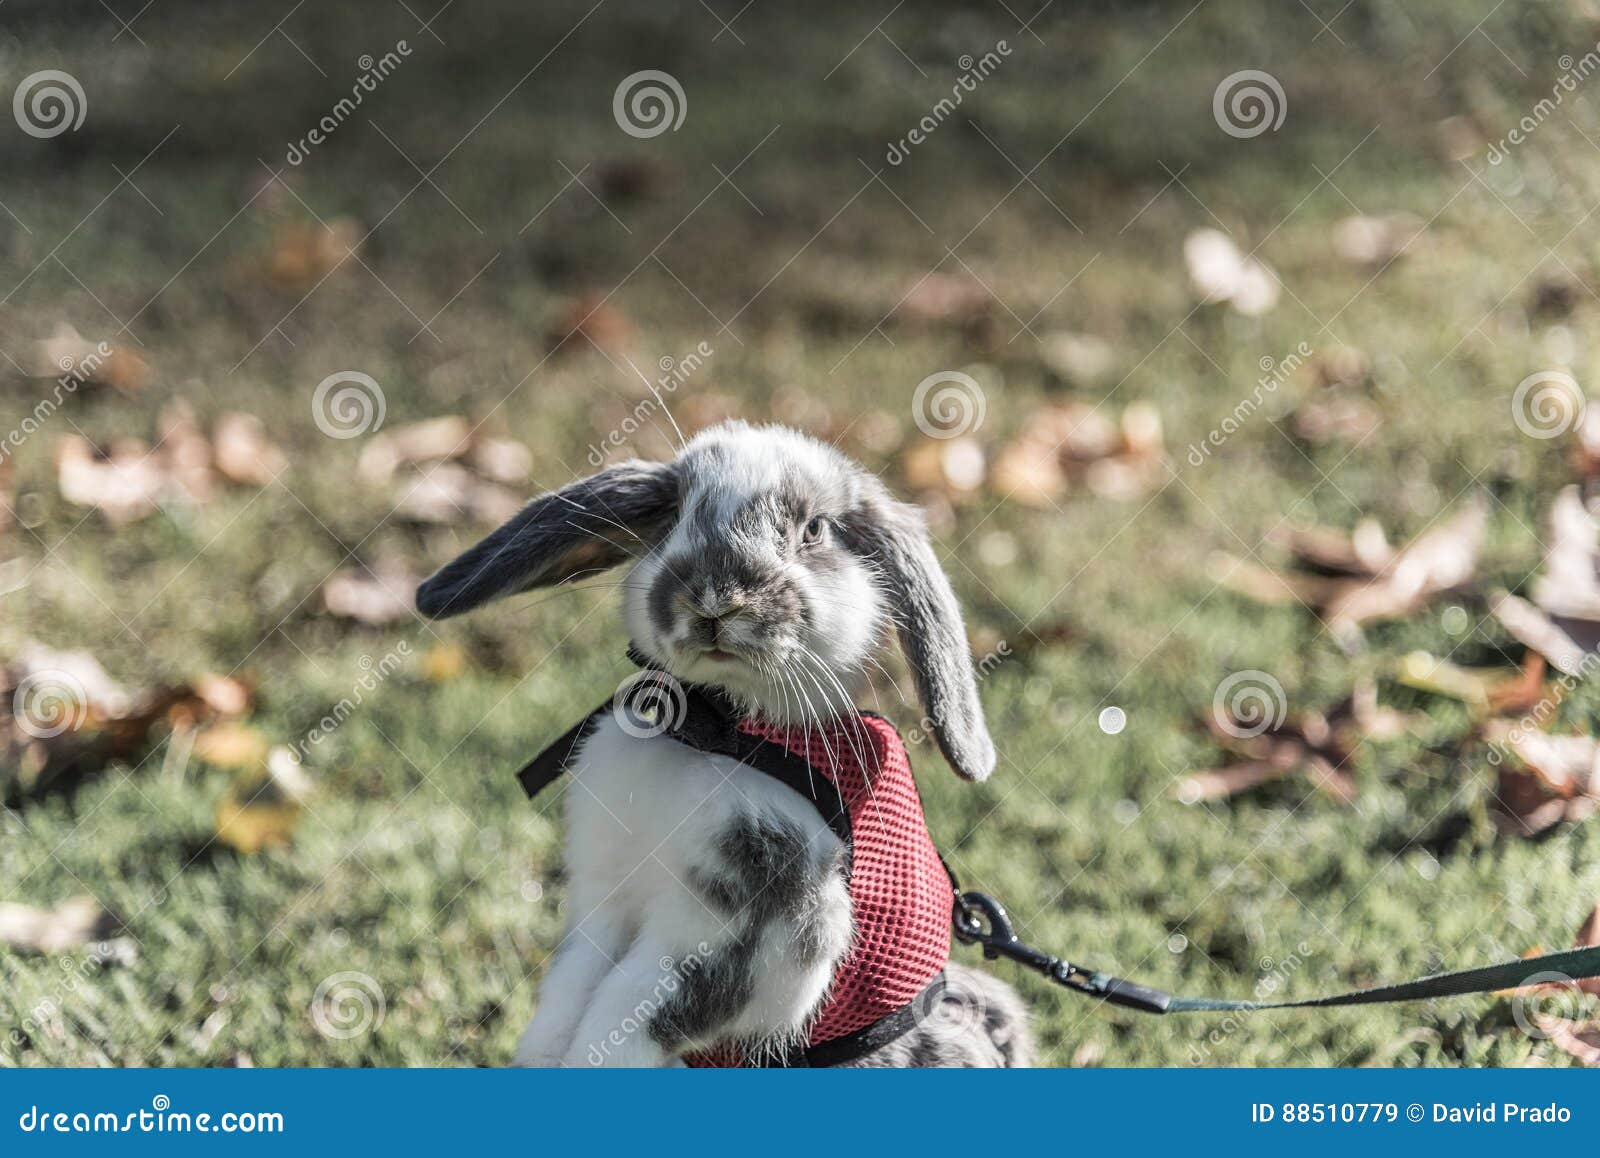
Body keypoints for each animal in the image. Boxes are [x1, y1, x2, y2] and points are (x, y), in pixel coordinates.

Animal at [415, 421, 1032, 1068]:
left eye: (814, 530)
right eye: (675, 514)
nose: (715, 598)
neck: (712, 726)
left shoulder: (739, 930)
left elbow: (628, 1014)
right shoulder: (603, 903)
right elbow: (569, 995)